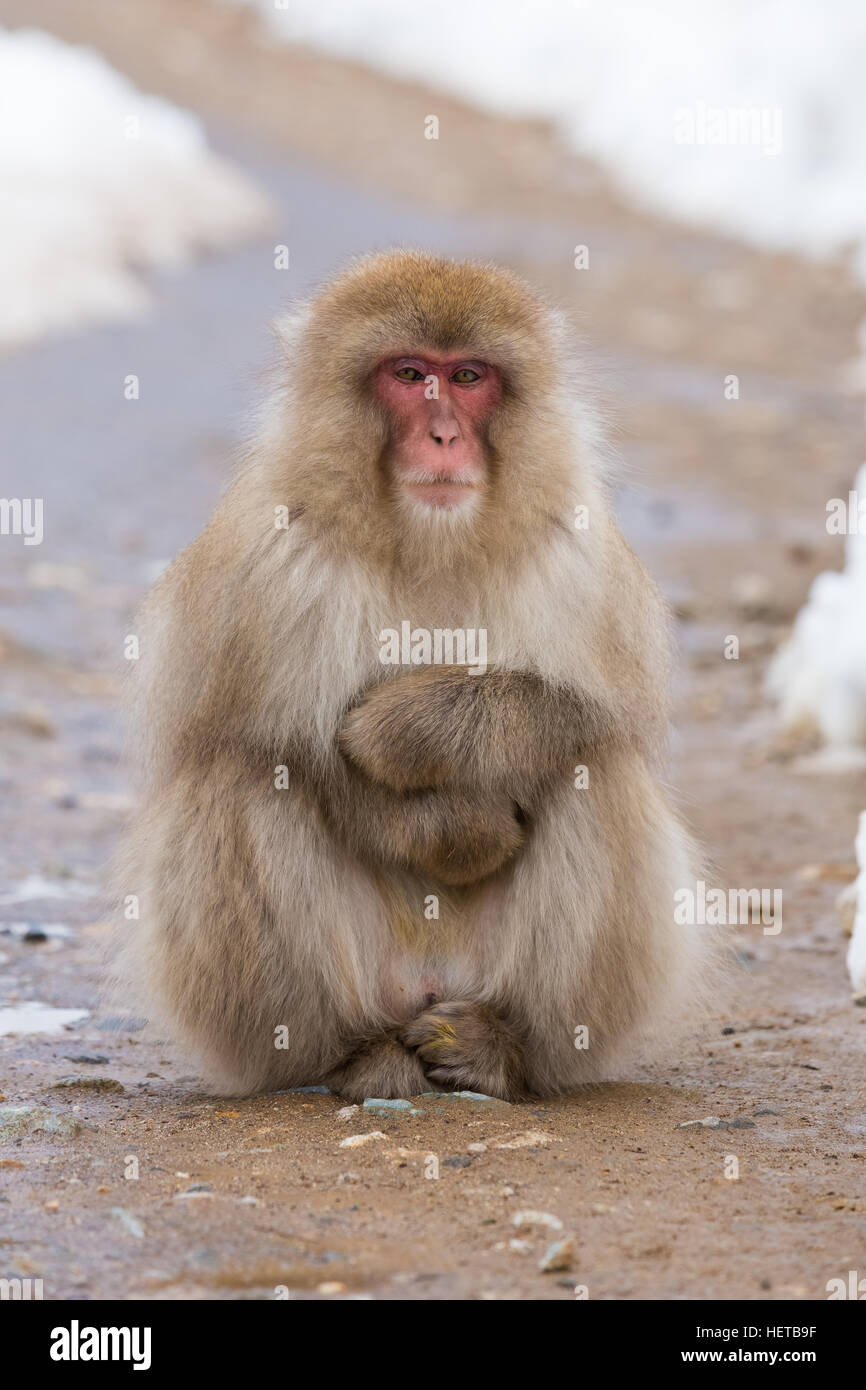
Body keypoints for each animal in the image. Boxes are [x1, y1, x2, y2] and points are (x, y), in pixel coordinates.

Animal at [112, 251, 706, 1103]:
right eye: (408, 373)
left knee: (597, 769)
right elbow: (272, 745)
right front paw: (454, 829)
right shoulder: (265, 563)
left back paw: (505, 1048)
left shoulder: (577, 554)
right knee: (238, 778)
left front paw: (410, 730)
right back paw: (349, 1055)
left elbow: (599, 717)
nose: (443, 433)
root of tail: (429, 985)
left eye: (468, 376)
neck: (429, 543)